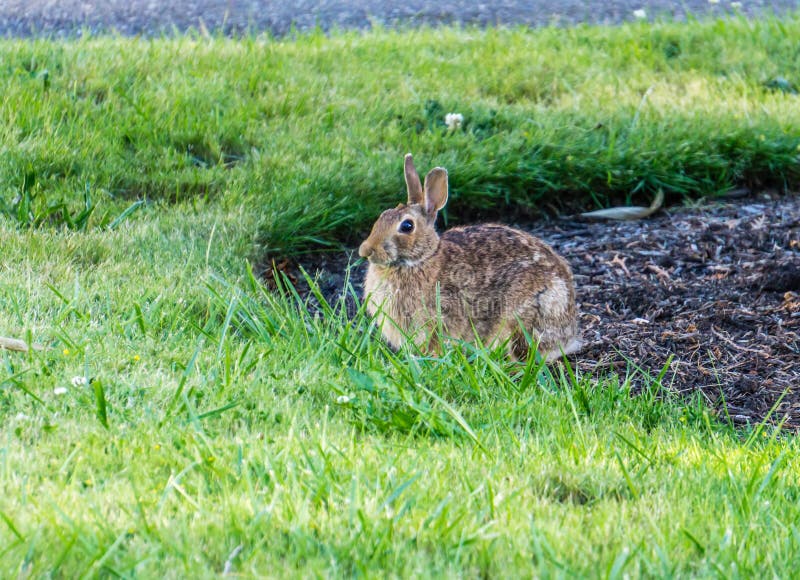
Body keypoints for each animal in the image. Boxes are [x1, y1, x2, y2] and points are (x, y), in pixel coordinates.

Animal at [358, 154, 582, 362]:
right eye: (382, 216)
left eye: (407, 226)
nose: (365, 250)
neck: (421, 259)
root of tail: (569, 333)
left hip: (526, 311)